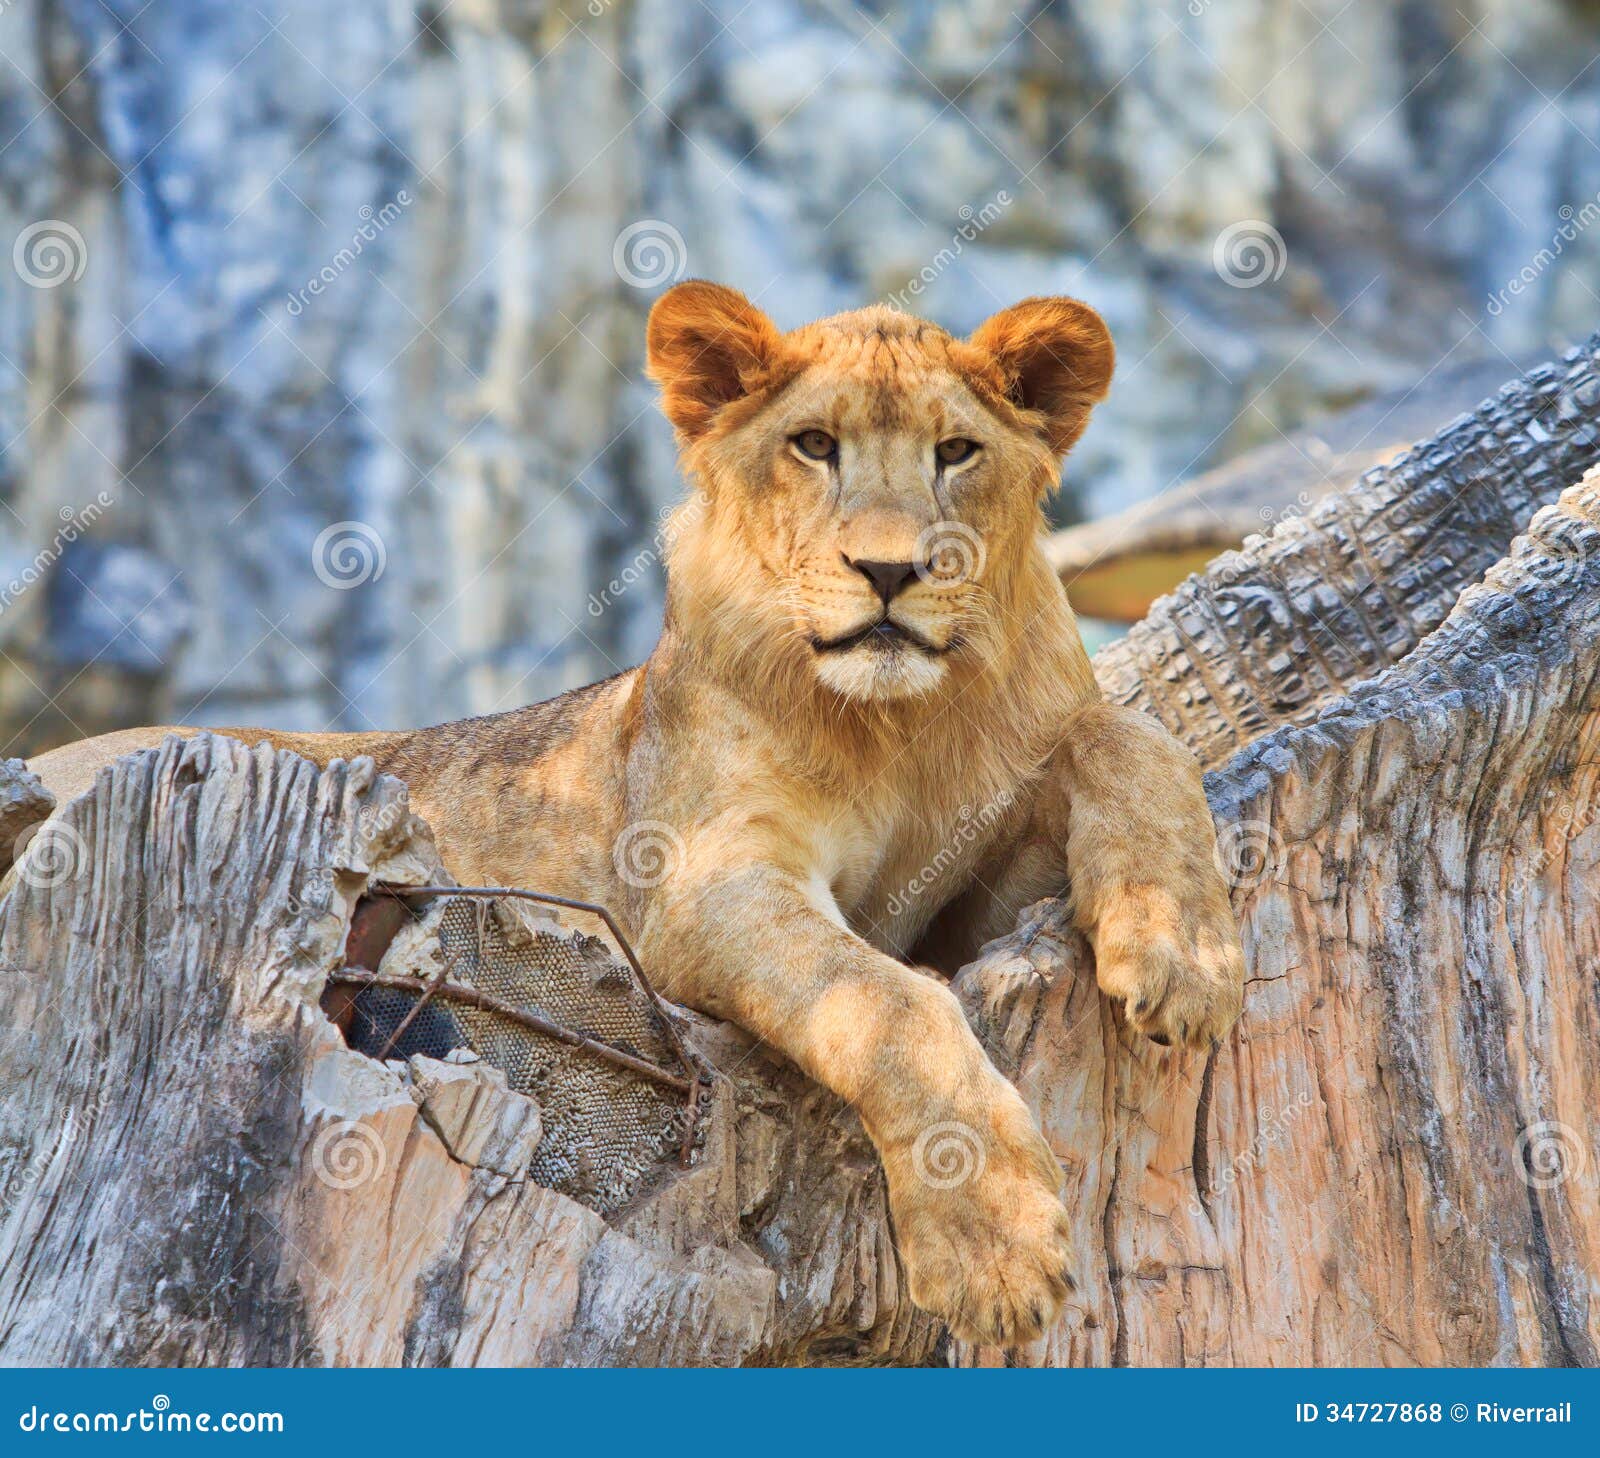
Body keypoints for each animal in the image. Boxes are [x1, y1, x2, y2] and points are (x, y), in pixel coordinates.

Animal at [31, 282, 1245, 1347]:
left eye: (956, 453)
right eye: (814, 445)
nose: (891, 570)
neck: (898, 728)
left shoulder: (983, 891)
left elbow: (1125, 734)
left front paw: (1186, 958)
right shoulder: (706, 881)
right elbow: (889, 1002)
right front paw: (995, 1250)